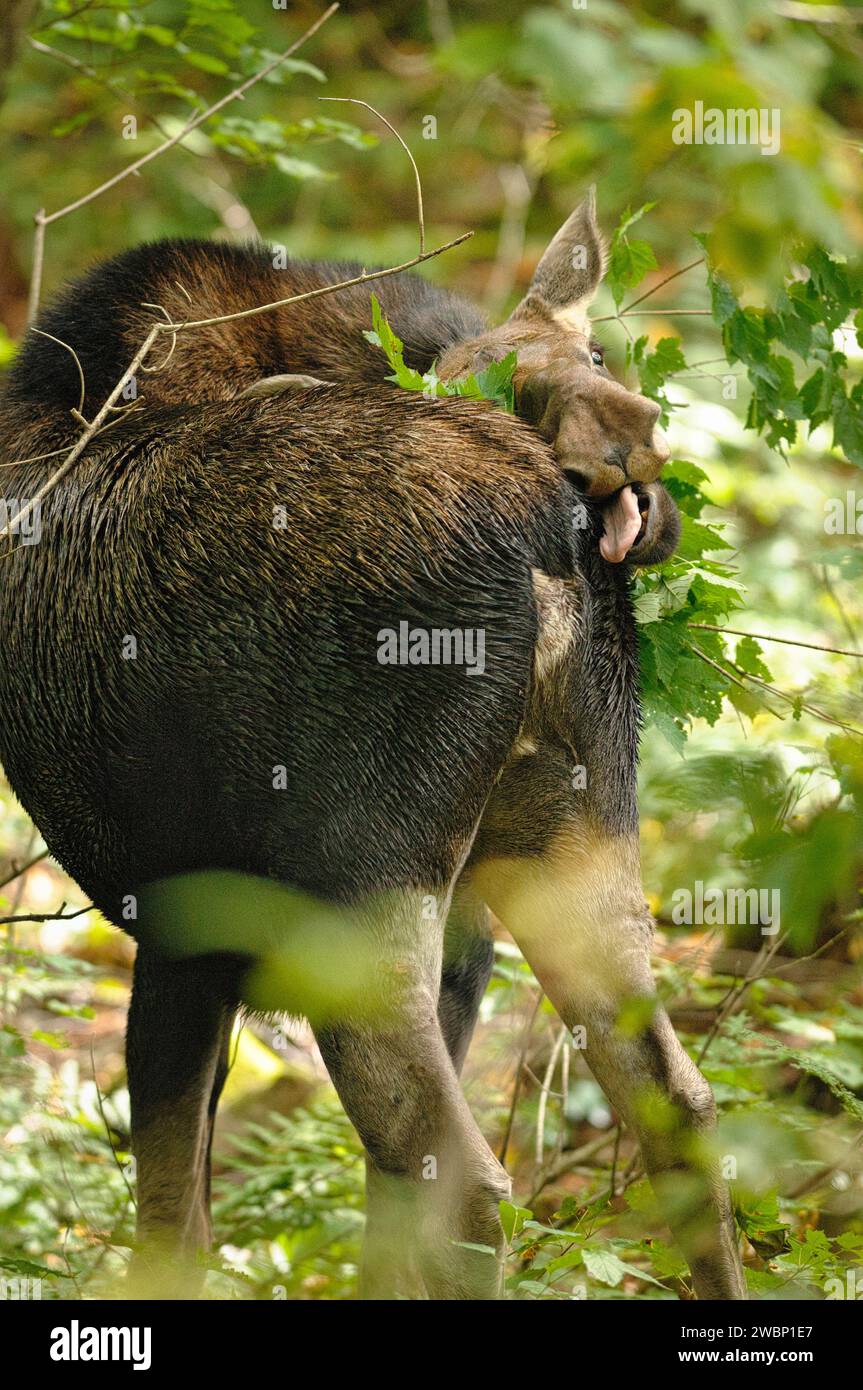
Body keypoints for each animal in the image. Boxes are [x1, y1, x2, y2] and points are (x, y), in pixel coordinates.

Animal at [0, 189, 746, 1300]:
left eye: (600, 350)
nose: (627, 444)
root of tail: (545, 542)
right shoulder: (453, 947)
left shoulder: (175, 918)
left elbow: (172, 1224)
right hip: (574, 838)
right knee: (676, 1101)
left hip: (356, 887)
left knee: (465, 1177)